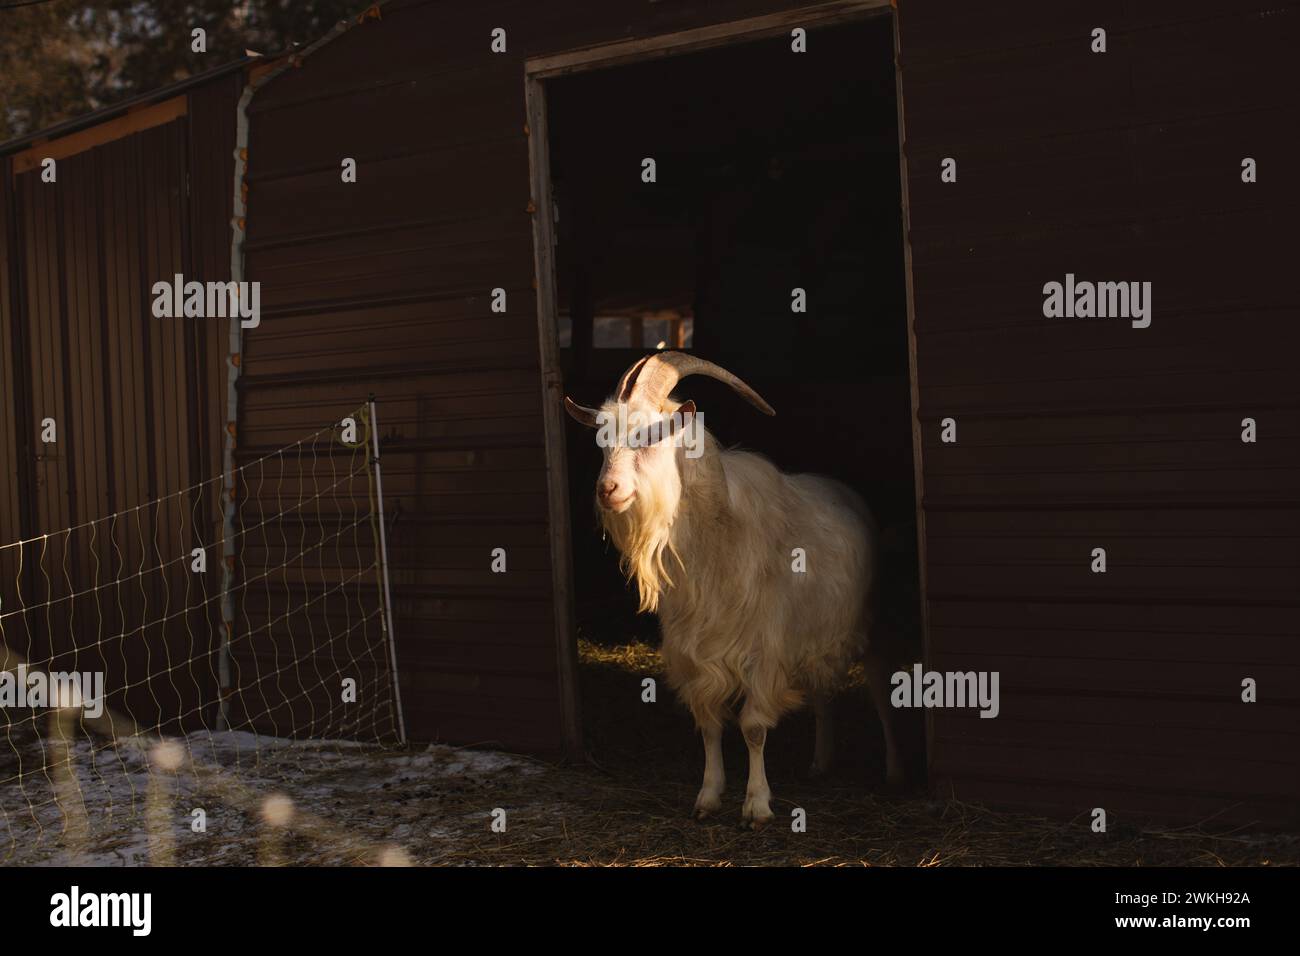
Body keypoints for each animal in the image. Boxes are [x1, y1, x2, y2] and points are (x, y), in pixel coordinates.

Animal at [565, 352, 902, 827]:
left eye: (649, 435)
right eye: (601, 442)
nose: (607, 489)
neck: (716, 537)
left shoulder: (764, 649)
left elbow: (753, 727)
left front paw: (757, 805)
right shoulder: (695, 654)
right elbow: (709, 725)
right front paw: (708, 797)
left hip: (871, 628)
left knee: (880, 691)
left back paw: (893, 772)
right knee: (821, 694)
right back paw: (820, 763)